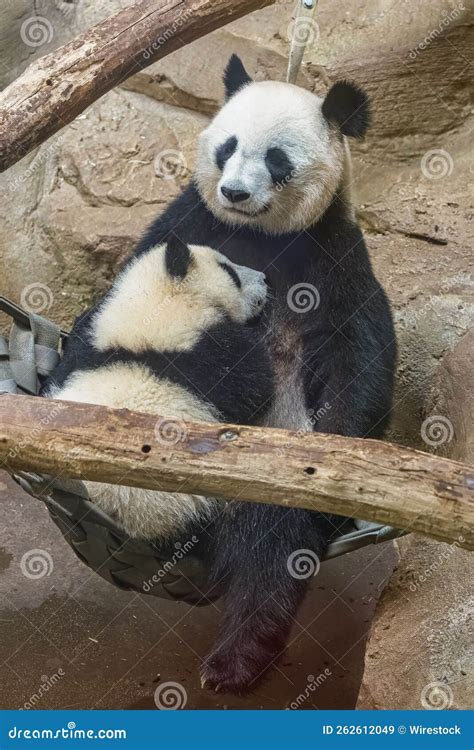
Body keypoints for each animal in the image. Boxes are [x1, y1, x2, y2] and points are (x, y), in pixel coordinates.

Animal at [133, 56, 397, 694]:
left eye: (277, 159)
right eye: (227, 146)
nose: (234, 192)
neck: (257, 235)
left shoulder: (332, 254)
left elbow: (359, 355)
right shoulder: (189, 224)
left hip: (267, 473)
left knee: (273, 552)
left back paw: (237, 661)